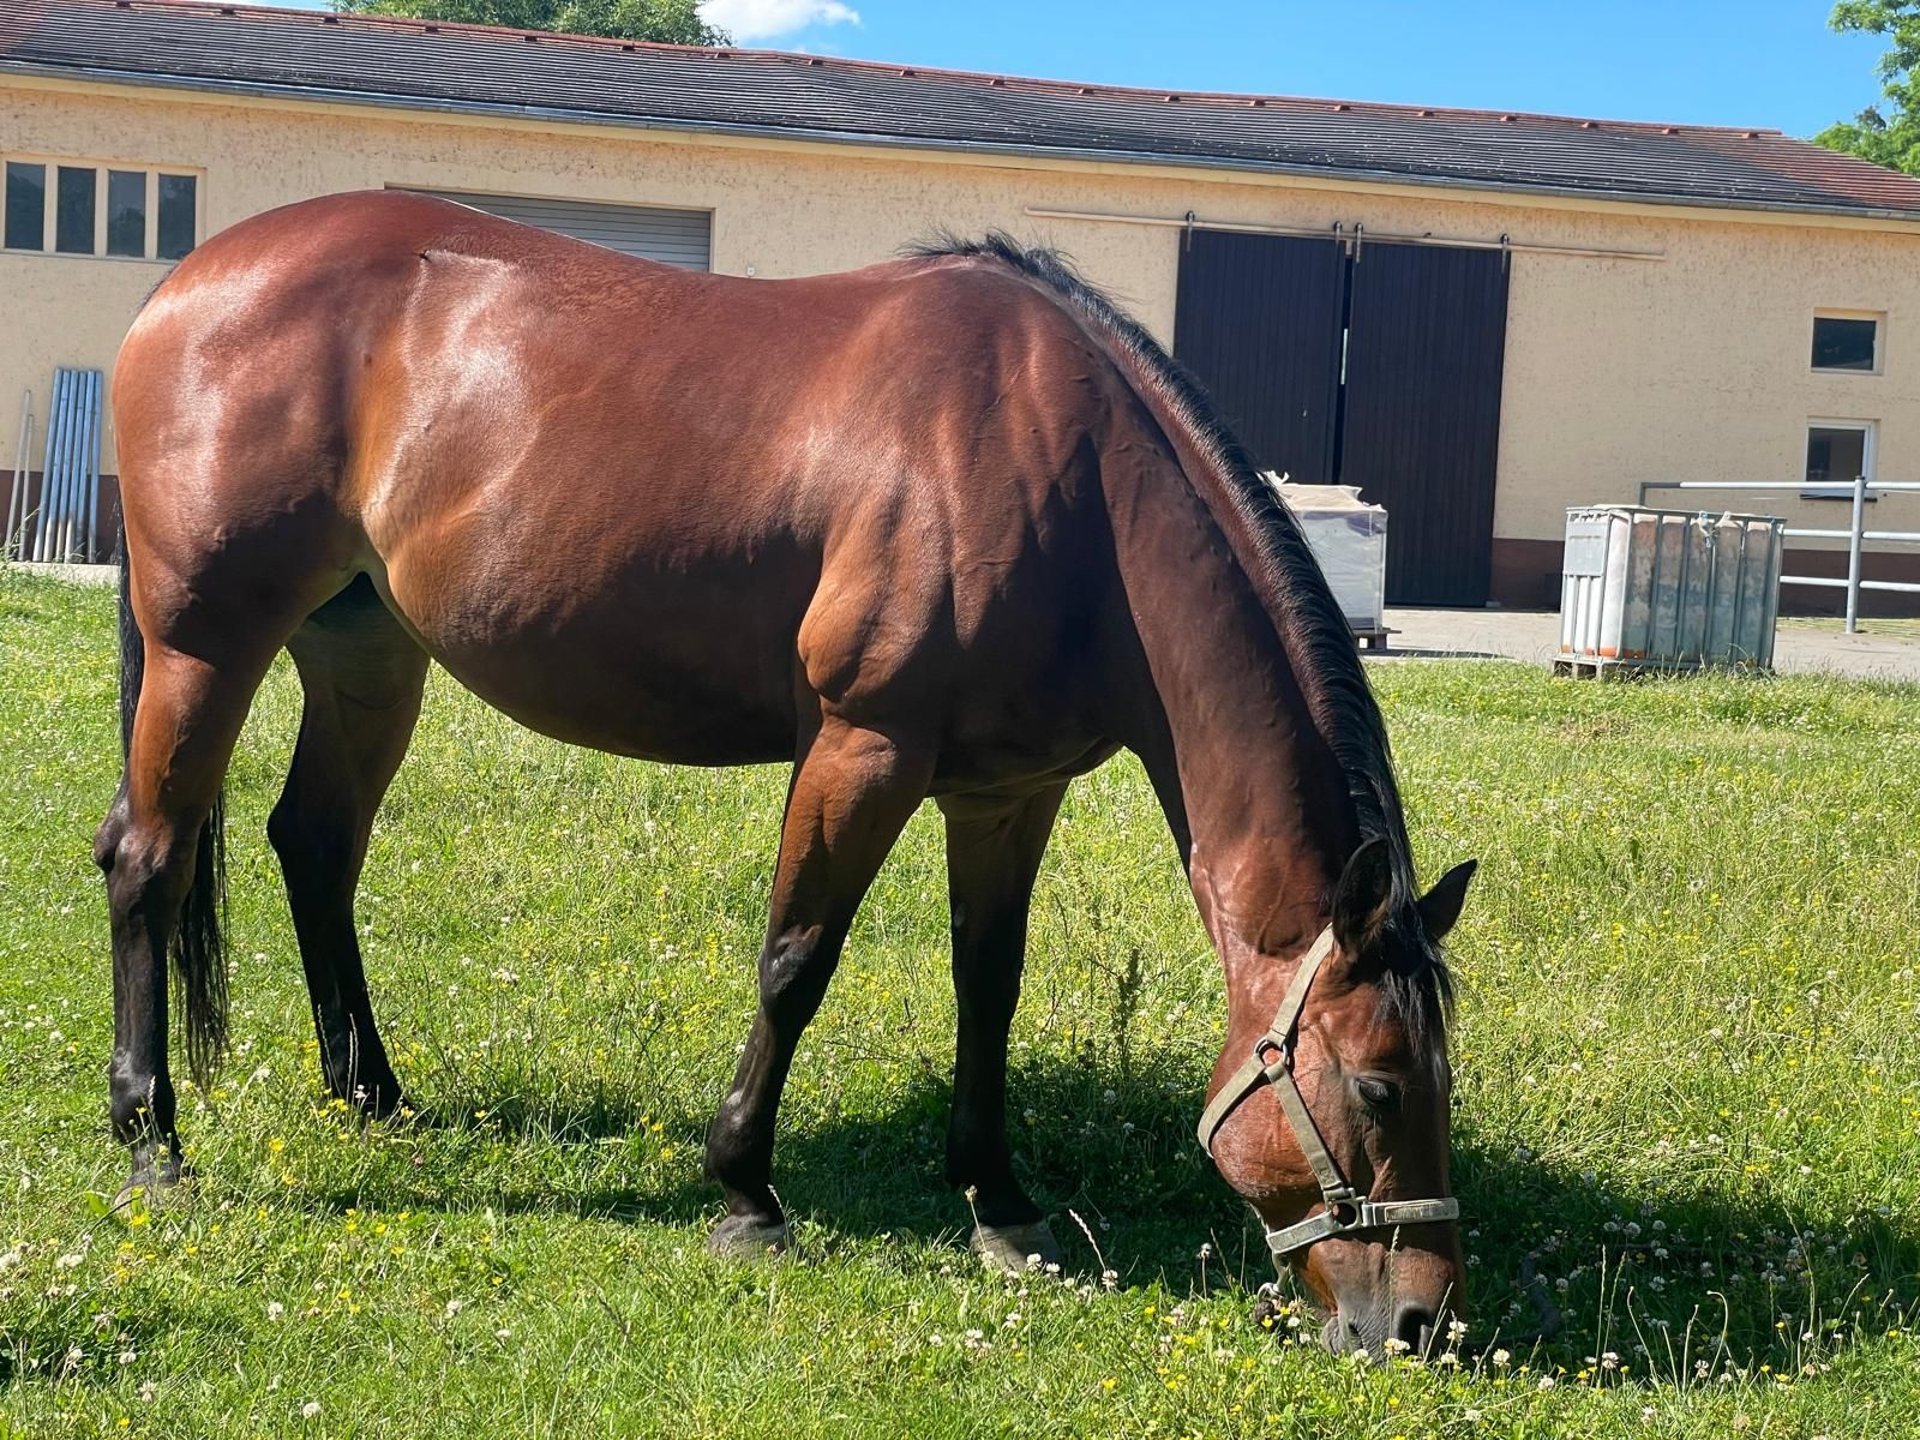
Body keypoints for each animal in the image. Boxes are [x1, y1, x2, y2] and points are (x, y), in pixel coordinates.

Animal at [94, 190, 1476, 1355]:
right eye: (1377, 1082)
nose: (1418, 1325)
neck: (1068, 476)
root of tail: (188, 280)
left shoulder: (1007, 790)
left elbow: (990, 985)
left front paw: (999, 1198)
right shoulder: (862, 747)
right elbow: (795, 961)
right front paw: (745, 1192)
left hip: (368, 652)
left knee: (316, 844)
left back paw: (373, 1095)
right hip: (207, 645)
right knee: (147, 861)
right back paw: (152, 1141)